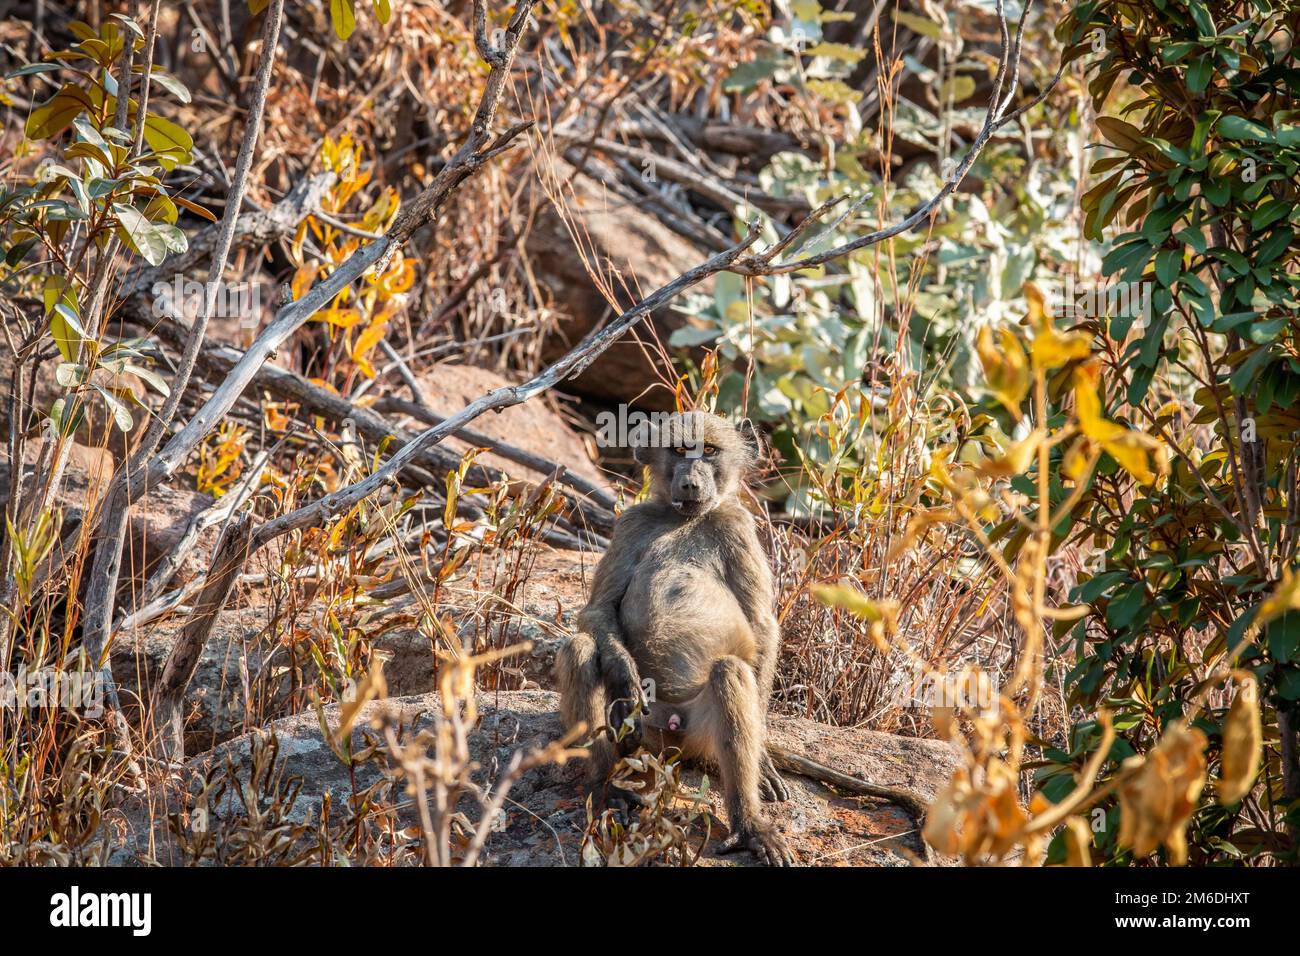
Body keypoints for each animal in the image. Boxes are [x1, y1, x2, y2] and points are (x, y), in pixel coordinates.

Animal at [556, 410, 796, 866]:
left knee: (729, 673)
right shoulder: (631, 524)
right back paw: (603, 787)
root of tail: (670, 732)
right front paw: (626, 680)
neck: (683, 519)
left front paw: (765, 762)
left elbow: (762, 627)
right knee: (580, 648)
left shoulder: (739, 528)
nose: (690, 483)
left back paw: (748, 824)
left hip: (699, 736)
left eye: (710, 451)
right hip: (644, 743)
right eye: (680, 450)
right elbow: (597, 611)